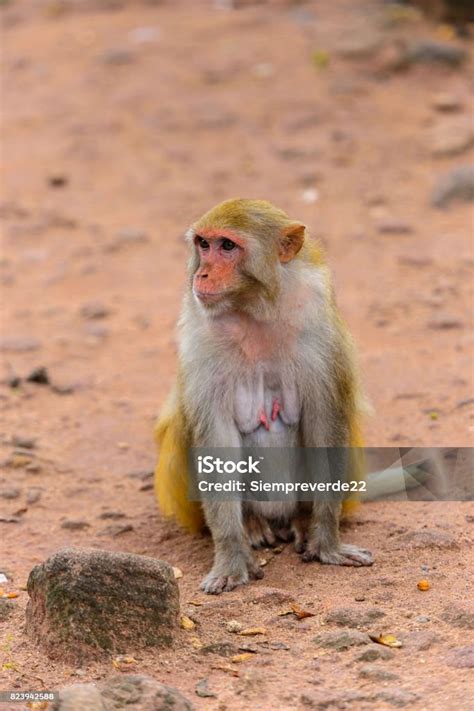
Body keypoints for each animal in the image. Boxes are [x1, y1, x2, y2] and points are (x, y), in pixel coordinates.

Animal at [155, 198, 373, 594]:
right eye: (203, 244)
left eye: (227, 246)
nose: (202, 276)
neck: (256, 308)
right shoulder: (201, 334)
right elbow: (216, 440)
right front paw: (231, 557)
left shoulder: (317, 325)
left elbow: (325, 423)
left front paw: (327, 543)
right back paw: (253, 523)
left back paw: (301, 518)